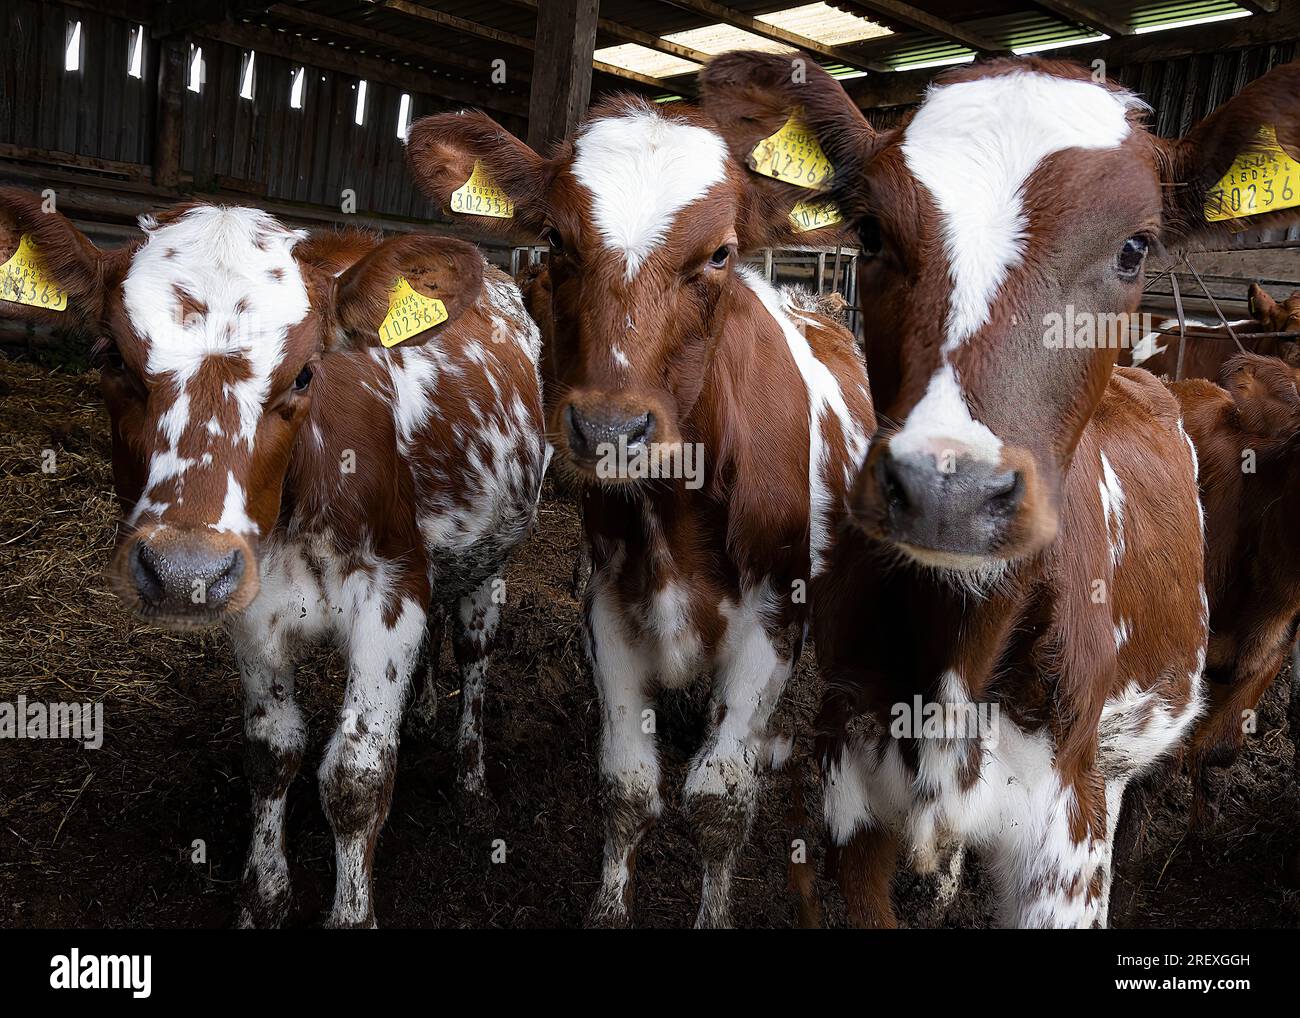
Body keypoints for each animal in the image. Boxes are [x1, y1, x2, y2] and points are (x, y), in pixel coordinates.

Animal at [0, 190, 547, 927]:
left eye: (304, 373)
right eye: (111, 355)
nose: (185, 571)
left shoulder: (393, 593)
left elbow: (357, 775)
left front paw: (351, 913)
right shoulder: (253, 602)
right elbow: (272, 752)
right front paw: (263, 898)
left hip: (491, 559)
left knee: (474, 648)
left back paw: (469, 776)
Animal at [405, 96, 876, 927]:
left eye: (720, 254)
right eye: (556, 238)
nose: (609, 429)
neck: (677, 513)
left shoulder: (772, 626)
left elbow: (720, 802)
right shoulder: (611, 610)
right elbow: (625, 788)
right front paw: (609, 906)